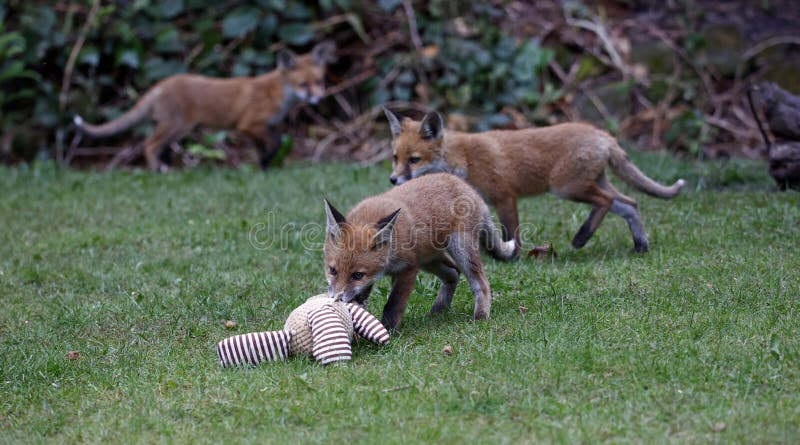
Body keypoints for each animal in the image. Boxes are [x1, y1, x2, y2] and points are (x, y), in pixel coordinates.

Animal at [73, 41, 336, 171]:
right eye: (303, 84)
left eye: (319, 81)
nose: (319, 98)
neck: (277, 94)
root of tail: (161, 84)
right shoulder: (248, 125)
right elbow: (274, 144)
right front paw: (267, 163)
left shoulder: (258, 129)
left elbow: (266, 147)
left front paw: (265, 167)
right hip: (175, 126)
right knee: (149, 145)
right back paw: (157, 171)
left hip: (177, 130)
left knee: (162, 148)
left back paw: (169, 169)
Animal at [323, 173, 516, 330]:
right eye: (332, 271)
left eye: (357, 275)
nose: (336, 300)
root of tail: (467, 187)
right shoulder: (375, 277)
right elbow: (361, 295)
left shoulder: (408, 267)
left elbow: (394, 304)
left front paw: (389, 330)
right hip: (429, 261)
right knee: (454, 273)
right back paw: (438, 311)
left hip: (460, 250)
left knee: (481, 283)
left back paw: (480, 315)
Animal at [383, 108, 686, 255]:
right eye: (395, 157)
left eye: (414, 160)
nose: (393, 179)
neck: (464, 158)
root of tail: (603, 134)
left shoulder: (505, 196)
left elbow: (511, 233)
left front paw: (513, 257)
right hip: (591, 183)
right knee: (630, 204)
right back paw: (640, 245)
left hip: (566, 187)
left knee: (606, 201)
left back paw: (582, 237)